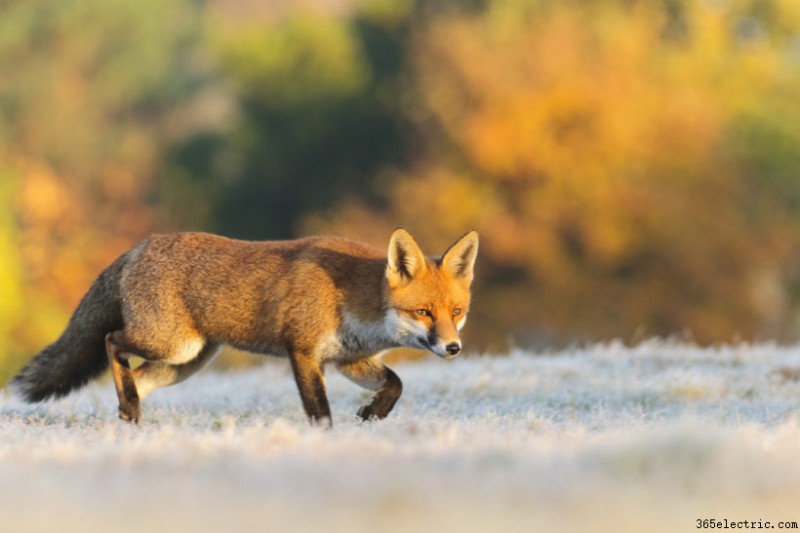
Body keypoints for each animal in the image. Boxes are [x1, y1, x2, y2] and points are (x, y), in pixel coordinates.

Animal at [9, 227, 478, 426]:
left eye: (456, 312)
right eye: (424, 313)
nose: (454, 348)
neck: (353, 297)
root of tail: (139, 246)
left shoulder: (349, 359)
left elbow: (396, 384)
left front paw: (374, 413)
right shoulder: (303, 351)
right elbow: (320, 410)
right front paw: (326, 440)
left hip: (186, 362)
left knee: (134, 381)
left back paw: (130, 417)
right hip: (170, 344)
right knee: (110, 341)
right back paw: (129, 411)